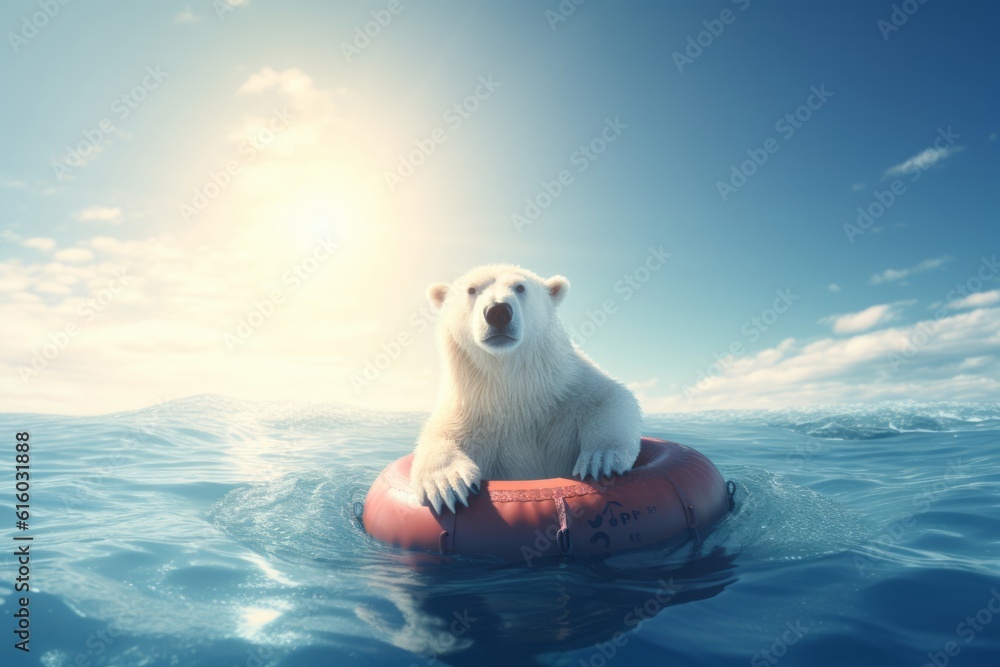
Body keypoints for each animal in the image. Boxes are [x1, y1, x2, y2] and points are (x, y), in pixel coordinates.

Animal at [410, 263, 642, 514]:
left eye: (520, 287)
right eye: (471, 290)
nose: (498, 312)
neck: (514, 391)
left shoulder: (565, 390)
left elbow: (611, 398)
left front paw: (600, 460)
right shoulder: (471, 413)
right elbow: (440, 433)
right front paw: (446, 483)